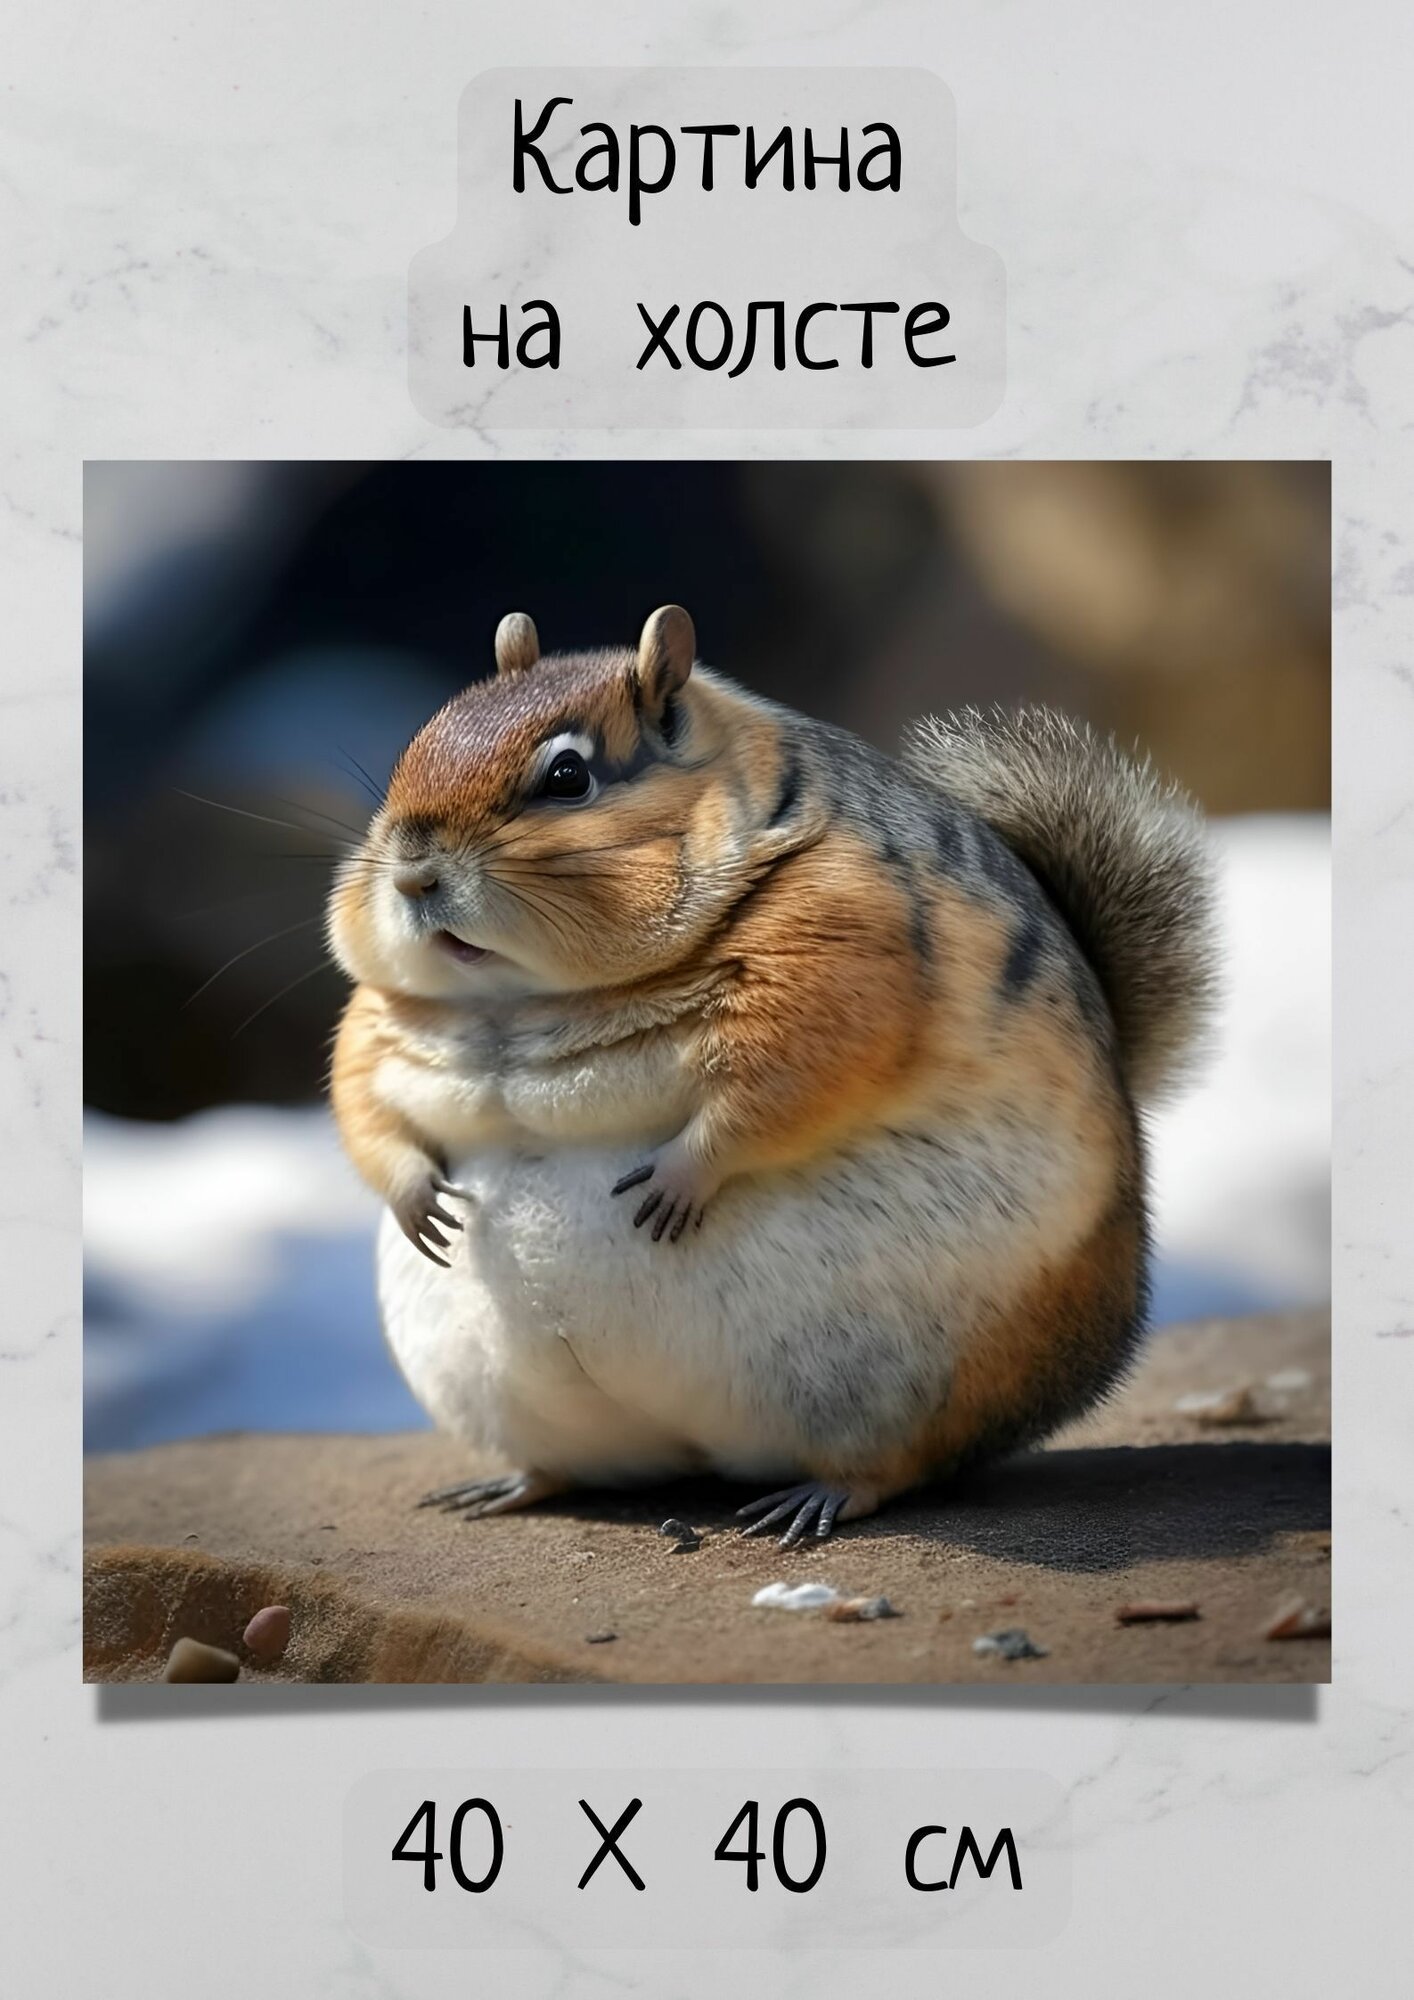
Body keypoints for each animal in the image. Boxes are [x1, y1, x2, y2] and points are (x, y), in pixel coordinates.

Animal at [327, 606, 1216, 1546]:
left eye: (567, 776)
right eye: (414, 747)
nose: (411, 874)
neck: (523, 998)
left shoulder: (843, 946)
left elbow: (785, 1082)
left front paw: (682, 1177)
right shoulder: (374, 1023)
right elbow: (361, 1105)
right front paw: (414, 1195)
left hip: (914, 1386)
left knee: (898, 1468)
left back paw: (817, 1497)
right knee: (568, 1466)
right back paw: (510, 1483)